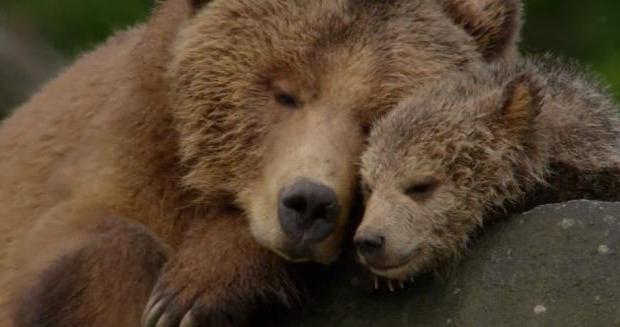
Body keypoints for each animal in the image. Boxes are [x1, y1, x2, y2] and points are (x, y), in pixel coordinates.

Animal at [0, 0, 524, 326]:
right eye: (285, 93)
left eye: (376, 117)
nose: (309, 204)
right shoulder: (126, 148)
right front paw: (161, 303)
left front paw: (196, 290)